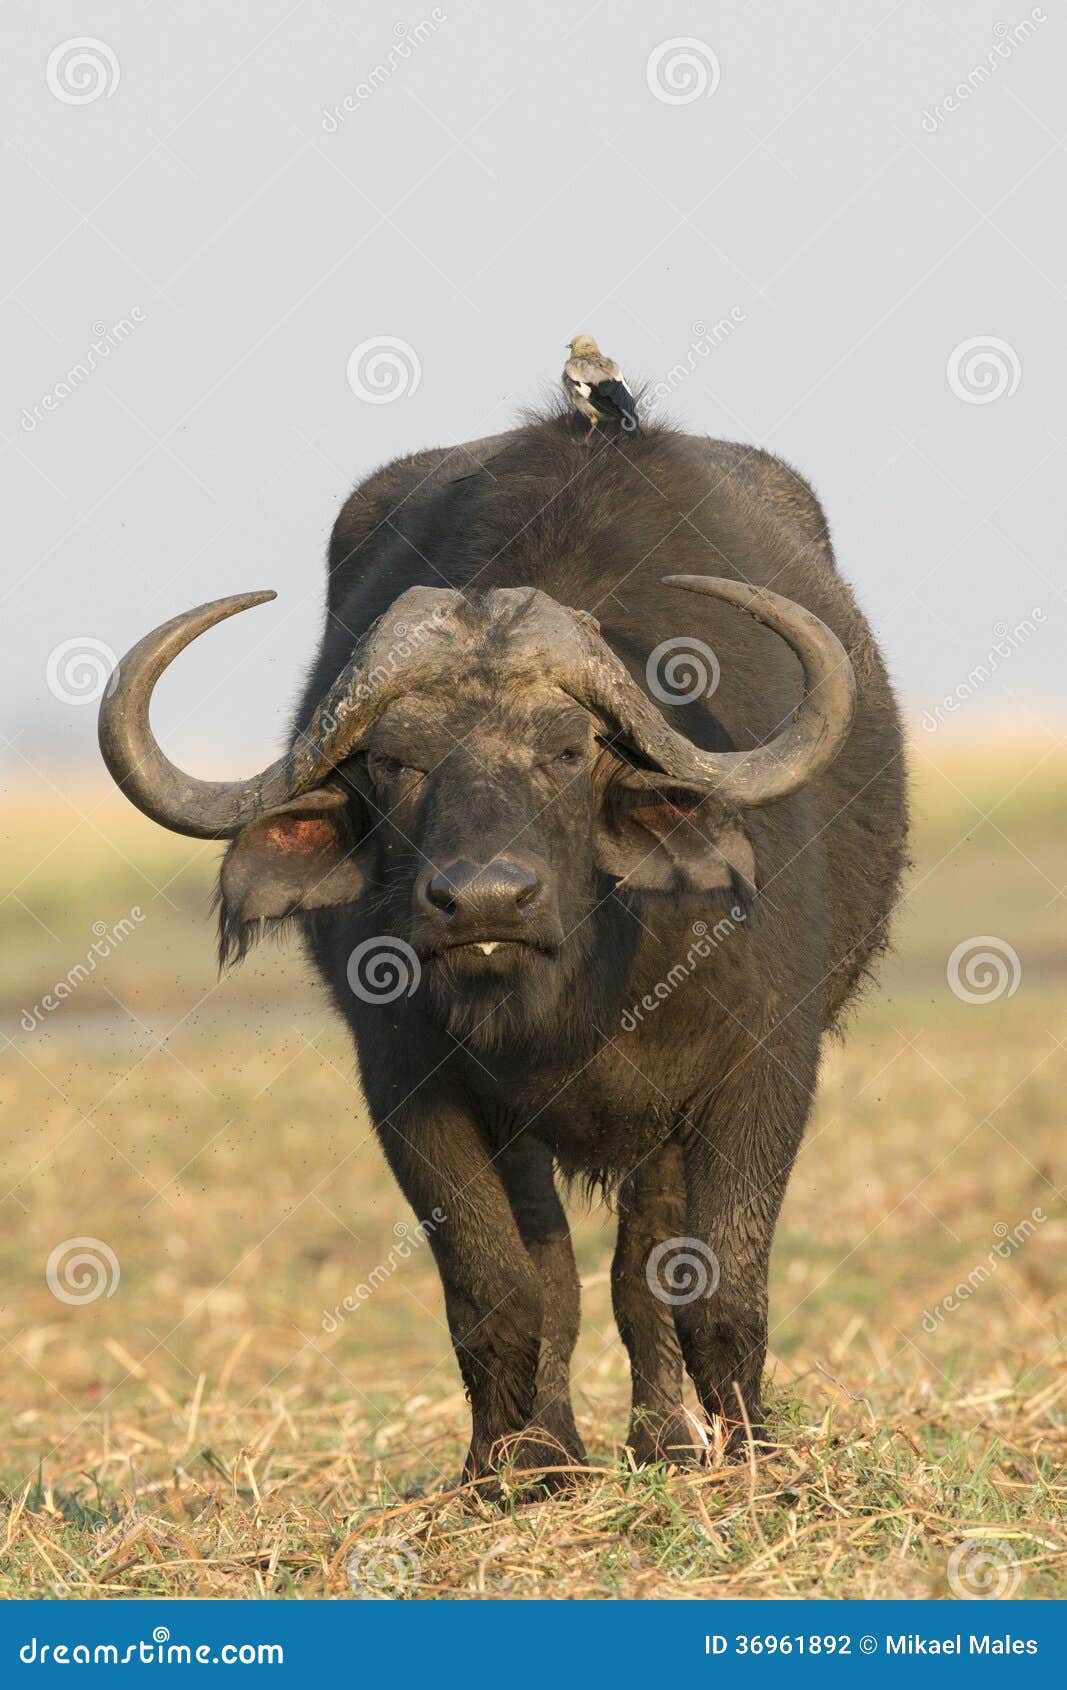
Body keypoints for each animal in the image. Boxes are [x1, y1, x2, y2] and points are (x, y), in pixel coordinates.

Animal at [100, 415, 906, 1487]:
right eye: (394, 762)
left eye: (568, 750)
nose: (484, 899)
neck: (574, 989)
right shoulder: (412, 1085)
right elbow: (502, 1286)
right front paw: (511, 1470)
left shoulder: (765, 1064)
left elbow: (716, 1282)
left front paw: (749, 1457)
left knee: (644, 1260)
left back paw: (668, 1440)